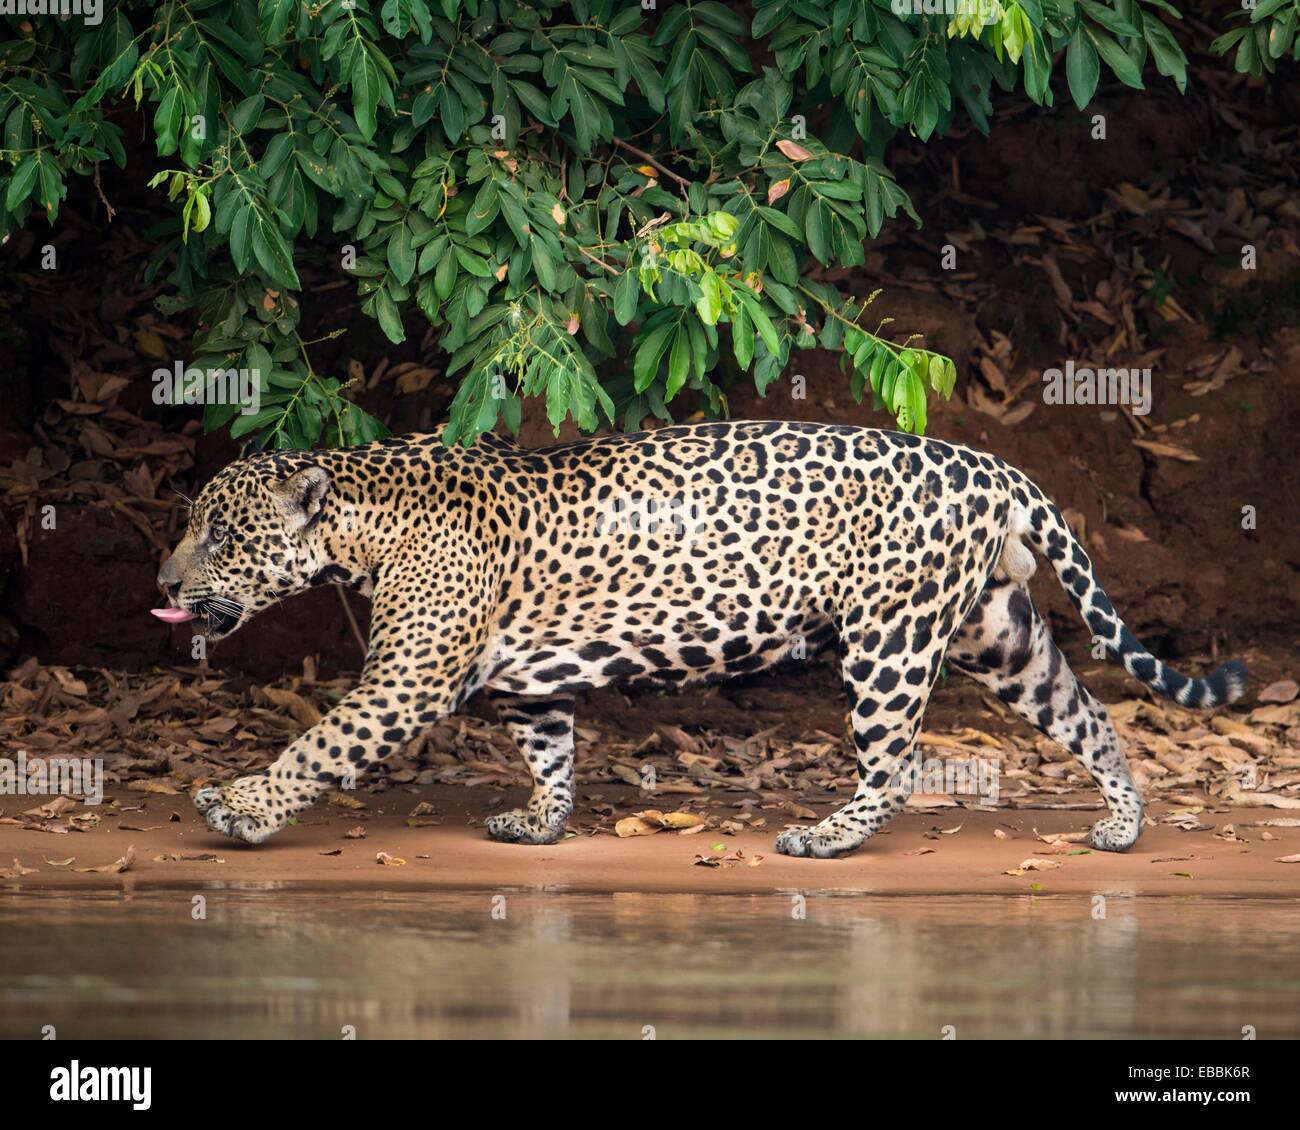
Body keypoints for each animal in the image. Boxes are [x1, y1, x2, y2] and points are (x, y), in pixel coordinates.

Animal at [155, 421, 1247, 858]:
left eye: (221, 533)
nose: (162, 584)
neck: (363, 520)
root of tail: (996, 467)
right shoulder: (527, 679)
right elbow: (549, 747)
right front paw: (542, 823)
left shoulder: (407, 678)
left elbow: (320, 742)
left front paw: (241, 806)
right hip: (997, 631)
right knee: (1089, 712)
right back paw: (1122, 822)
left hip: (890, 638)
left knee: (895, 762)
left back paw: (828, 835)